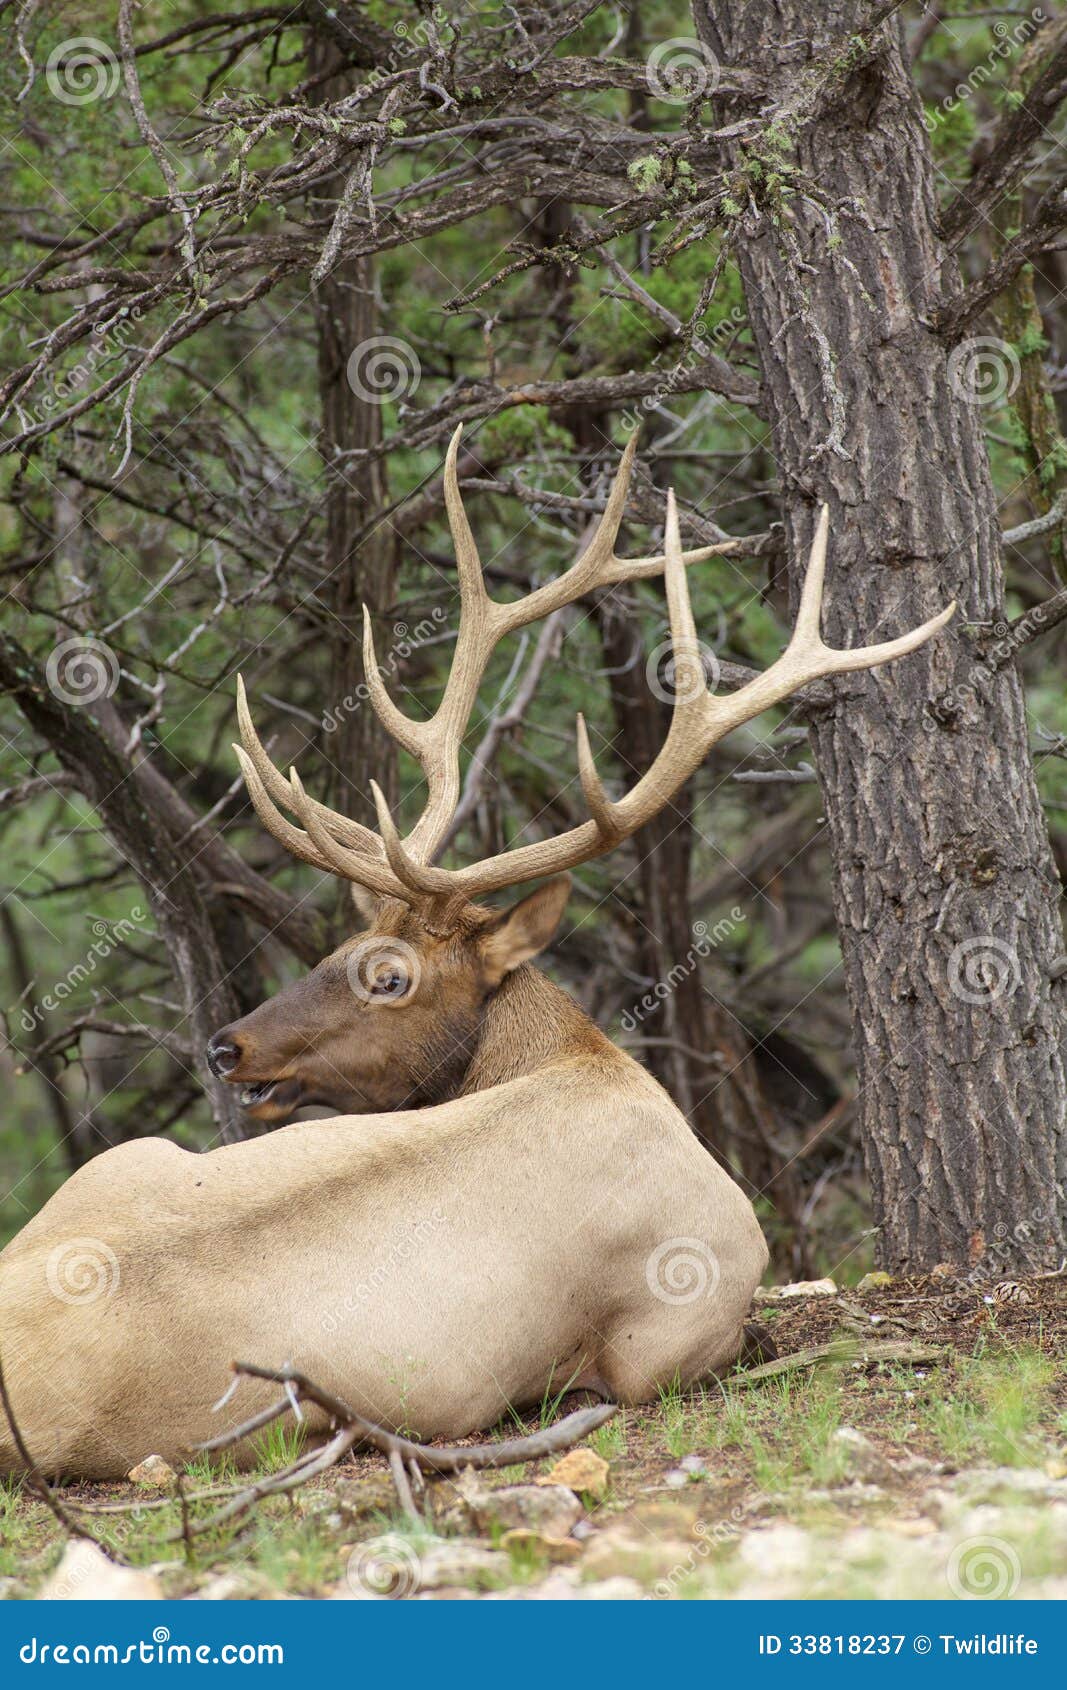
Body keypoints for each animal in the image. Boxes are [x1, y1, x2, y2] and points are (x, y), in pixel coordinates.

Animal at [0, 429, 953, 1478]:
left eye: (386, 974)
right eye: (345, 941)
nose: (225, 1045)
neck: (581, 1060)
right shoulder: (674, 1325)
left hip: (121, 1161)